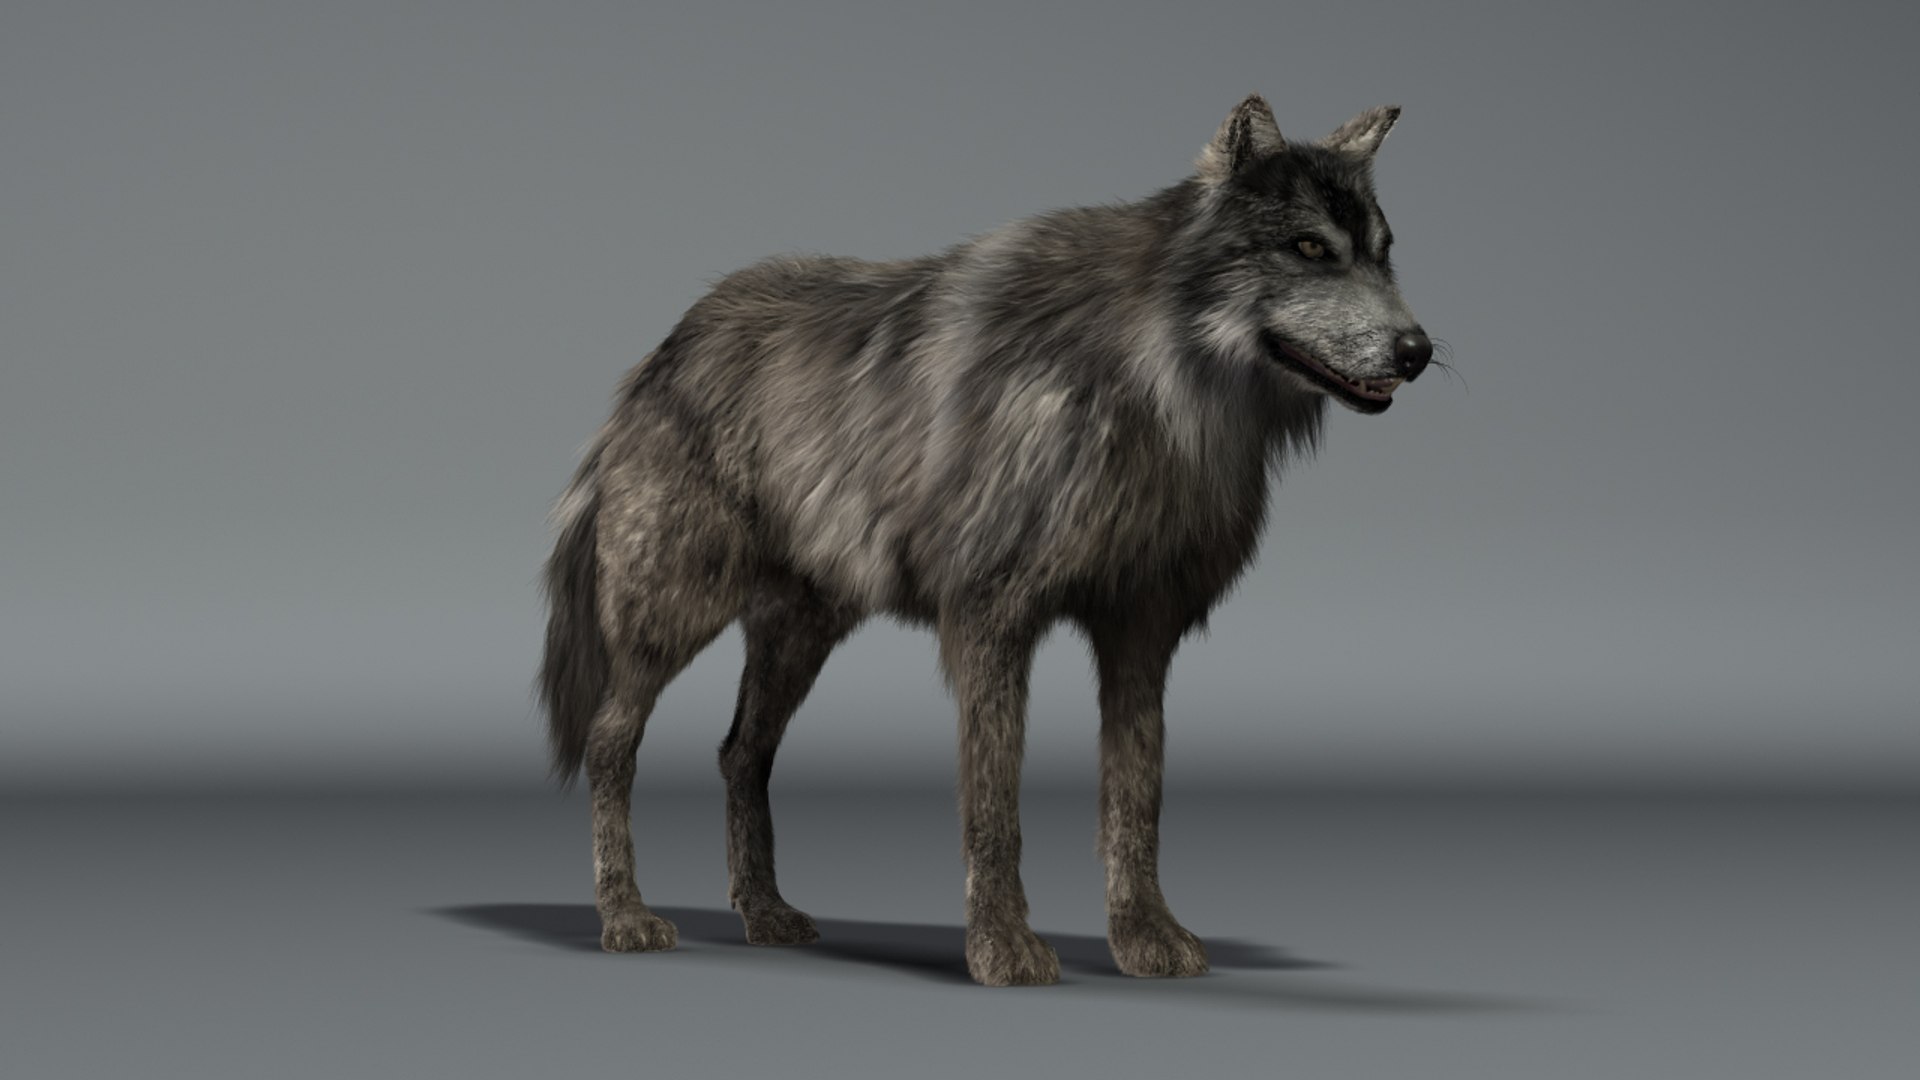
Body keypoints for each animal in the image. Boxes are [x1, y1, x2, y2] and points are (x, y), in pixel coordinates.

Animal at [538, 93, 1433, 986]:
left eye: (1384, 254)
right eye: (1309, 247)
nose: (1419, 352)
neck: (1154, 388)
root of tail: (664, 351)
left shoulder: (1141, 632)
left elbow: (1135, 800)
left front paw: (1143, 935)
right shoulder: (991, 622)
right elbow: (995, 803)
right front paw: (1003, 947)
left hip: (802, 633)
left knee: (741, 753)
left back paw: (763, 914)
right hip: (672, 616)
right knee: (612, 743)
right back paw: (626, 917)